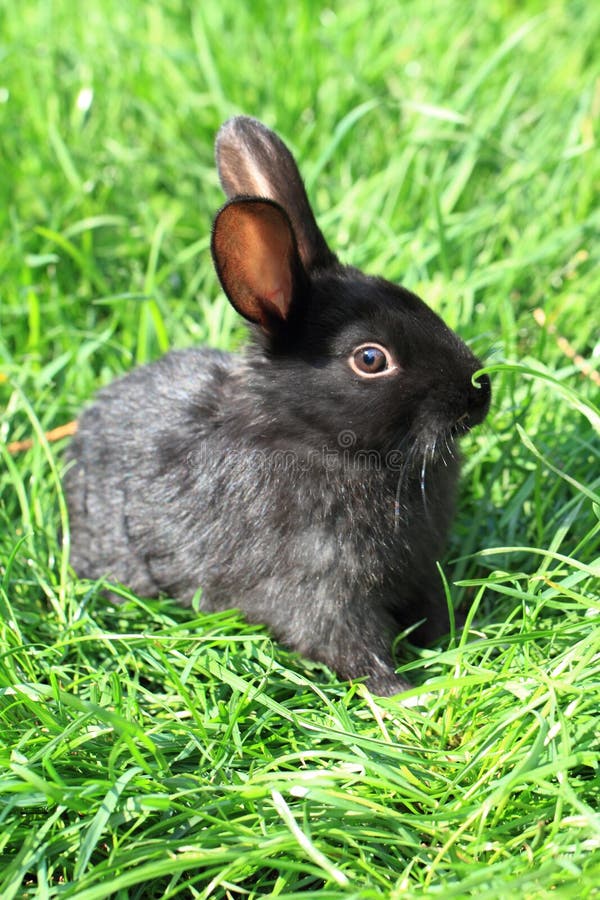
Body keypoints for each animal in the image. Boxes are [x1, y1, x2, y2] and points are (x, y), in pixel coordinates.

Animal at [64, 115, 491, 696]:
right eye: (371, 358)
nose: (479, 395)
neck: (313, 437)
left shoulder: (422, 570)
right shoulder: (319, 588)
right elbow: (351, 645)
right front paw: (404, 695)